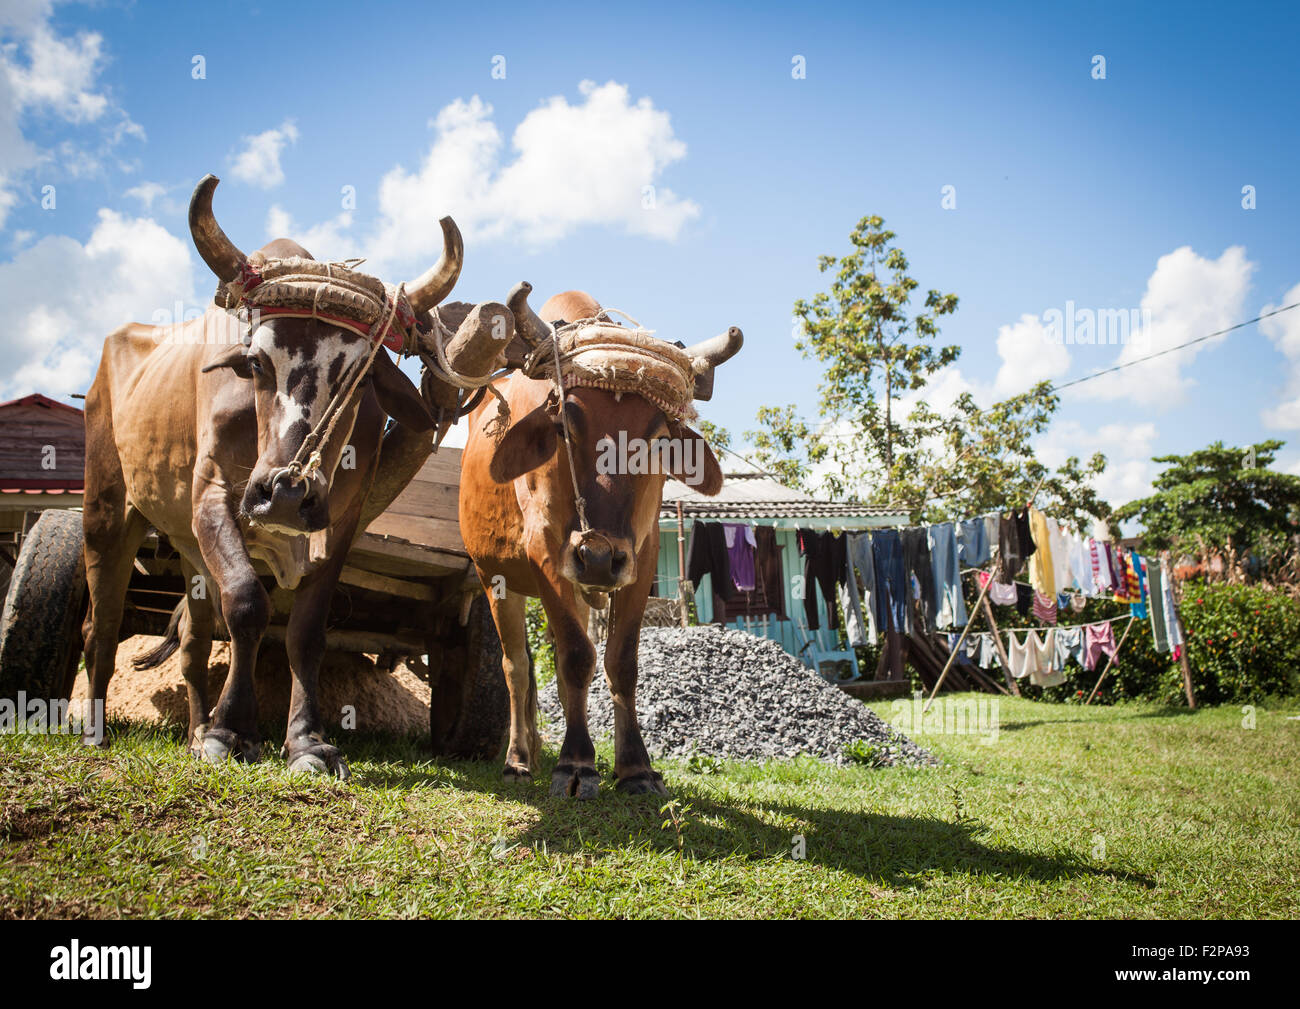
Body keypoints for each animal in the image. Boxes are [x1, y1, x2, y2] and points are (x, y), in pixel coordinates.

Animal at [79, 175, 497, 777]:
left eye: (359, 376)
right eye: (256, 362)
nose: (283, 494)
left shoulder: (339, 523)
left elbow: (306, 632)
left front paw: (305, 741)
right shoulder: (213, 498)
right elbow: (247, 605)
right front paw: (231, 733)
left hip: (188, 551)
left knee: (193, 641)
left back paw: (194, 730)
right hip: (107, 513)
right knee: (103, 626)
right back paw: (97, 731)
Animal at [459, 289, 742, 797]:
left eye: (660, 439)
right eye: (564, 427)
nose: (598, 558)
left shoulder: (641, 557)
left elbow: (619, 662)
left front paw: (635, 768)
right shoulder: (545, 552)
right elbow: (574, 658)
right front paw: (575, 764)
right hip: (495, 579)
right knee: (516, 668)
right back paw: (518, 759)